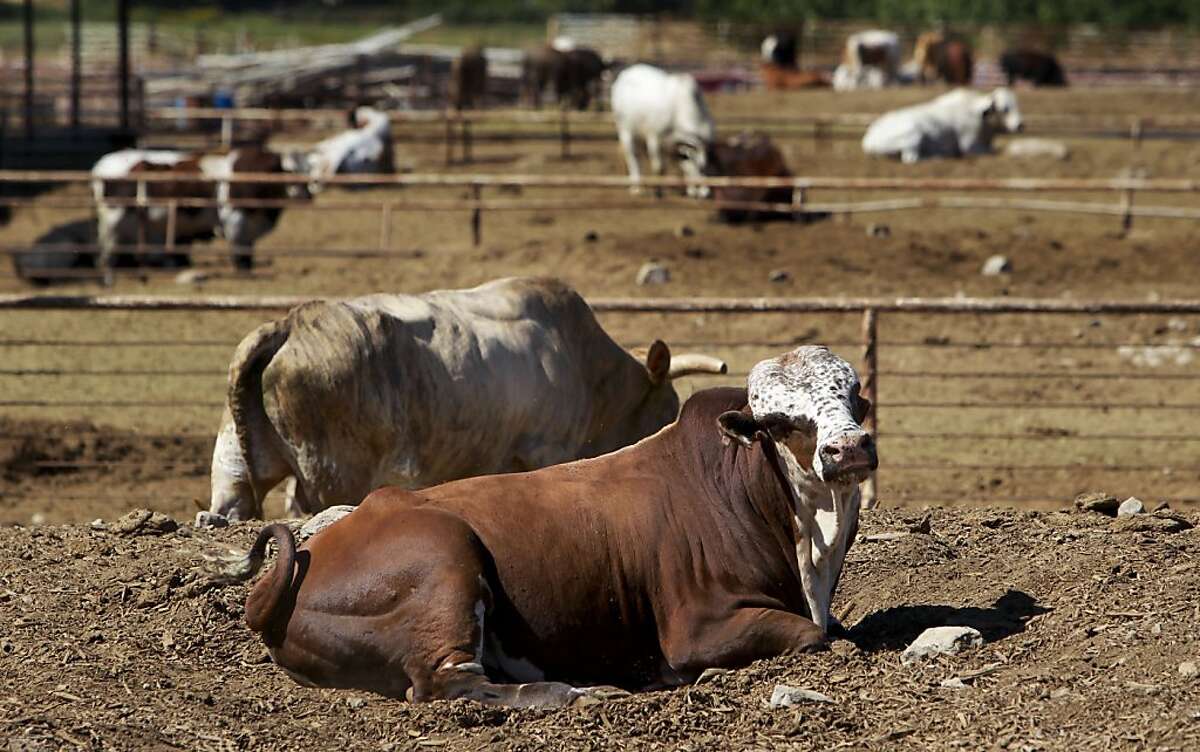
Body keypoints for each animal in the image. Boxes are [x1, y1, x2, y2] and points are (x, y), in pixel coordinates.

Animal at [91, 146, 299, 282]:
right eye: (288, 171)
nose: (303, 190)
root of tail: (101, 165)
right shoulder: (235, 221)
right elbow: (241, 256)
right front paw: (244, 274)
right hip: (113, 224)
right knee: (108, 255)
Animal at [215, 345, 877, 707]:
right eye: (781, 419)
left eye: (853, 395)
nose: (848, 449)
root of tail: (297, 572)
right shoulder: (698, 630)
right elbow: (815, 636)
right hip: (446, 556)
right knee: (451, 683)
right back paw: (579, 693)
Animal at [612, 64, 715, 198]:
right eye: (689, 158)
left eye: (704, 166)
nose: (704, 191)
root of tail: (627, 72)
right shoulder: (654, 138)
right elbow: (658, 166)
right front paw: (658, 191)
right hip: (625, 129)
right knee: (632, 156)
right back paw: (636, 186)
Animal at [862, 88, 1023, 163]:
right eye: (1004, 109)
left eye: (1017, 104)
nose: (1020, 125)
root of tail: (869, 140)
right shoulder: (971, 147)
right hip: (913, 138)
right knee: (911, 159)